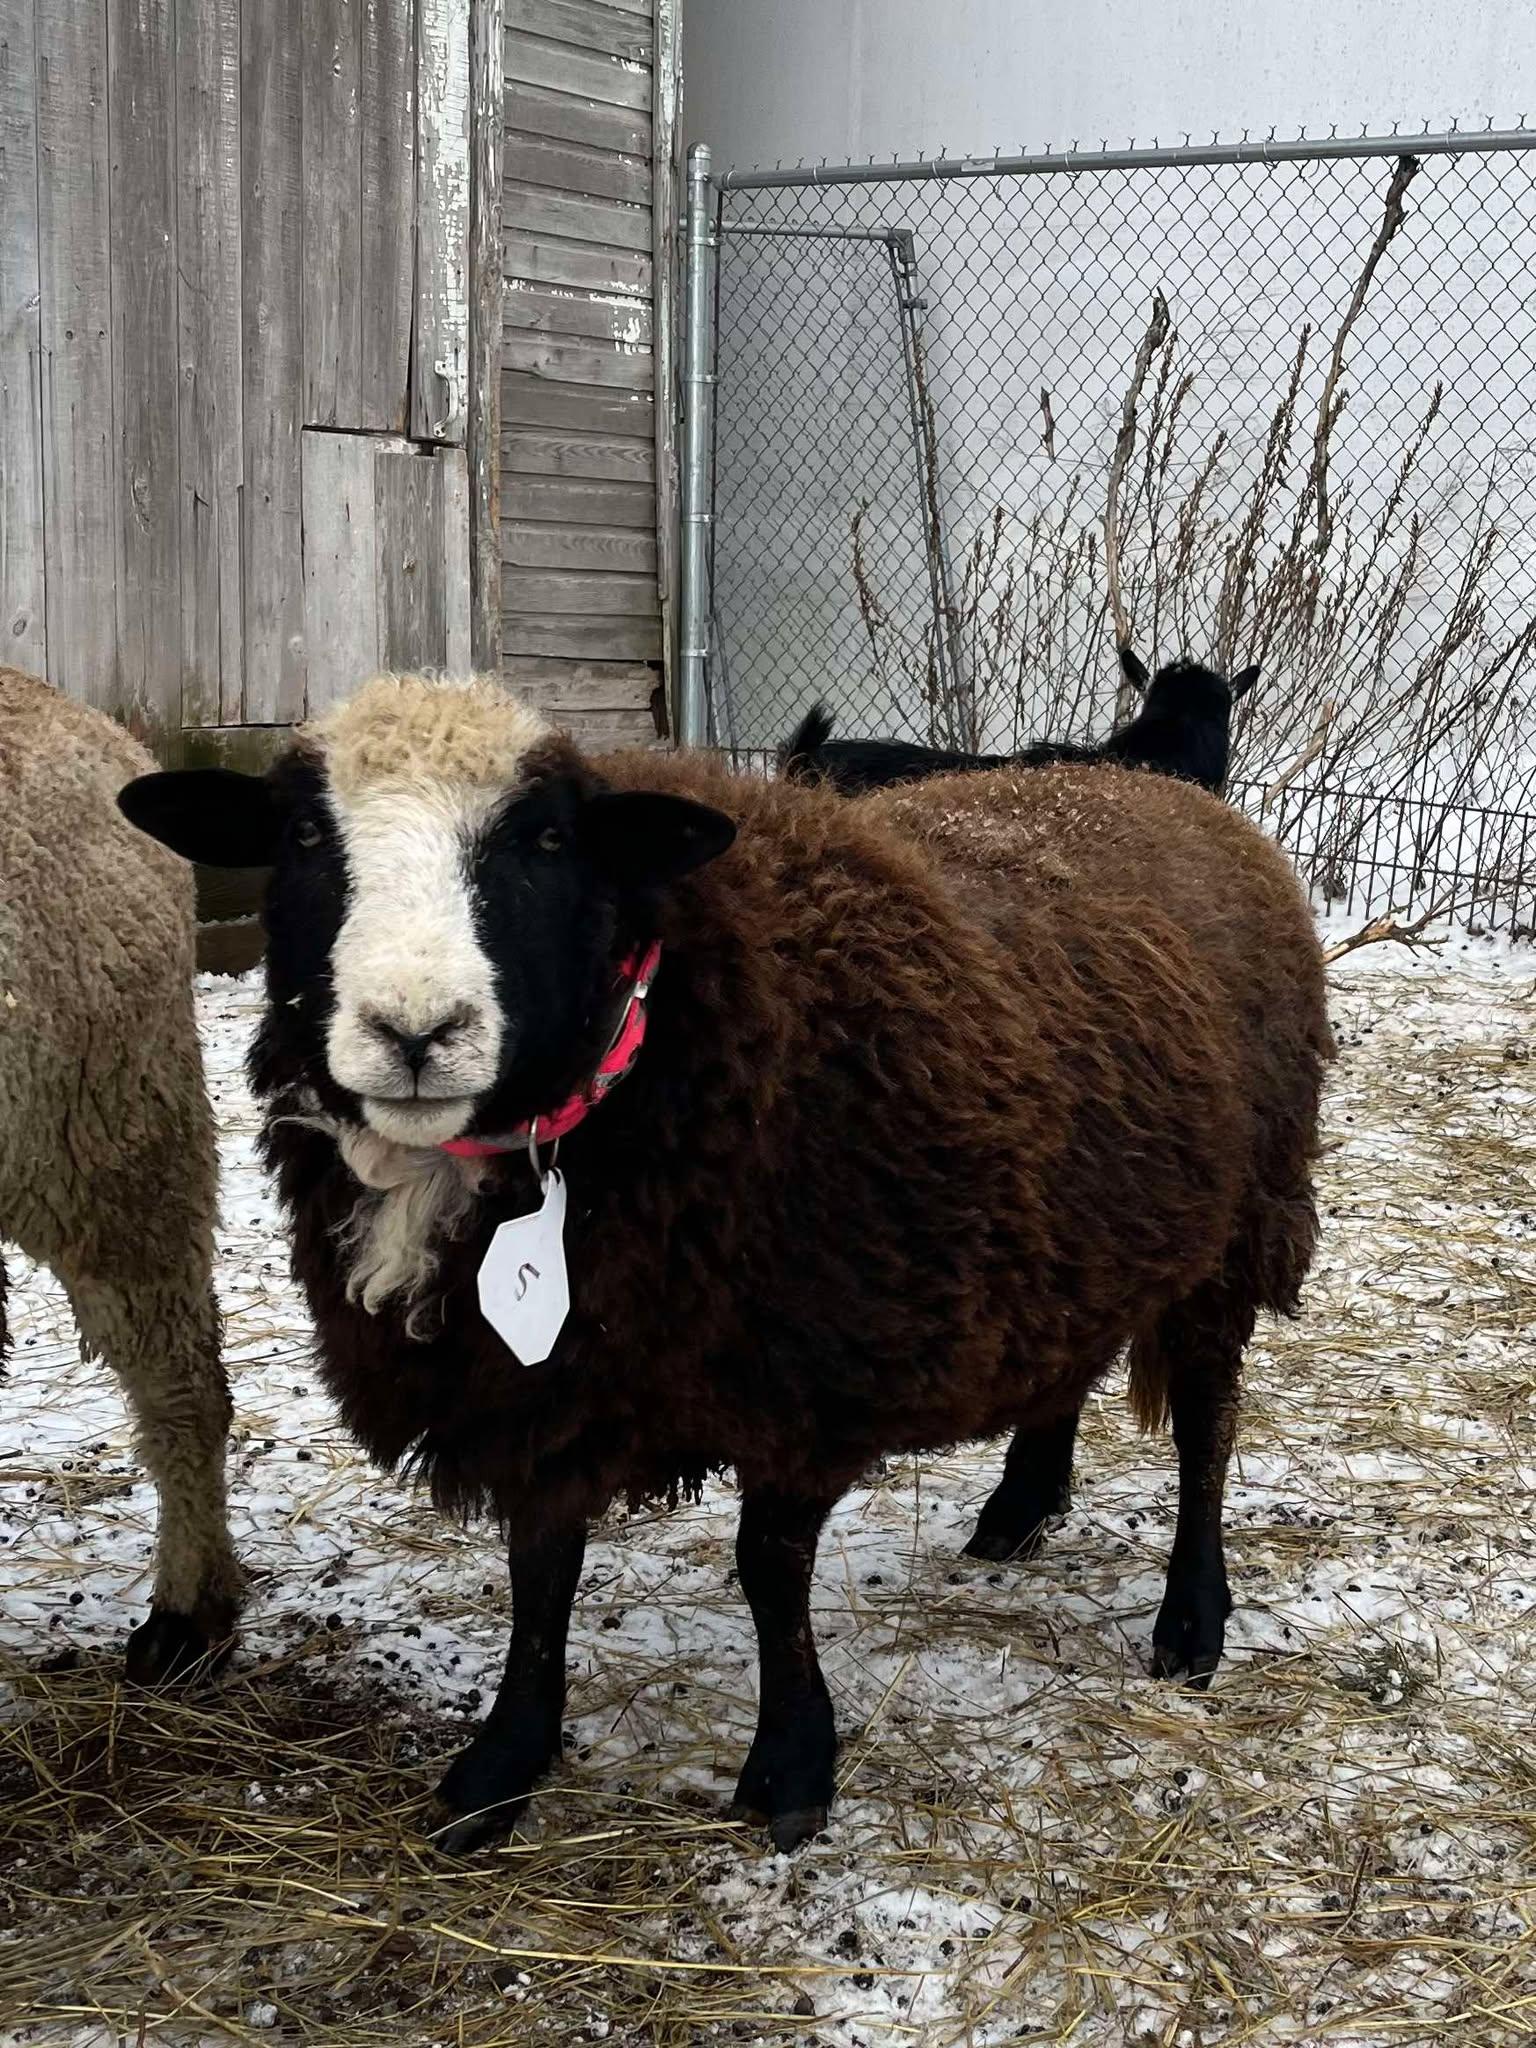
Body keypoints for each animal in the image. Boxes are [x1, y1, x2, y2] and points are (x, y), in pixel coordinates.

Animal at [119, 672, 1330, 1852]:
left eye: (547, 838)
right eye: (303, 837)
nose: (415, 1032)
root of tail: (1159, 786)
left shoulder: (809, 1361)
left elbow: (768, 1564)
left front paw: (791, 1767)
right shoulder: (539, 1377)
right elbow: (541, 1567)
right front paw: (503, 1764)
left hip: (1245, 1220)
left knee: (1209, 1427)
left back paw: (1192, 1619)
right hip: (1083, 1224)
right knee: (1069, 1360)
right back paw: (1020, 1507)